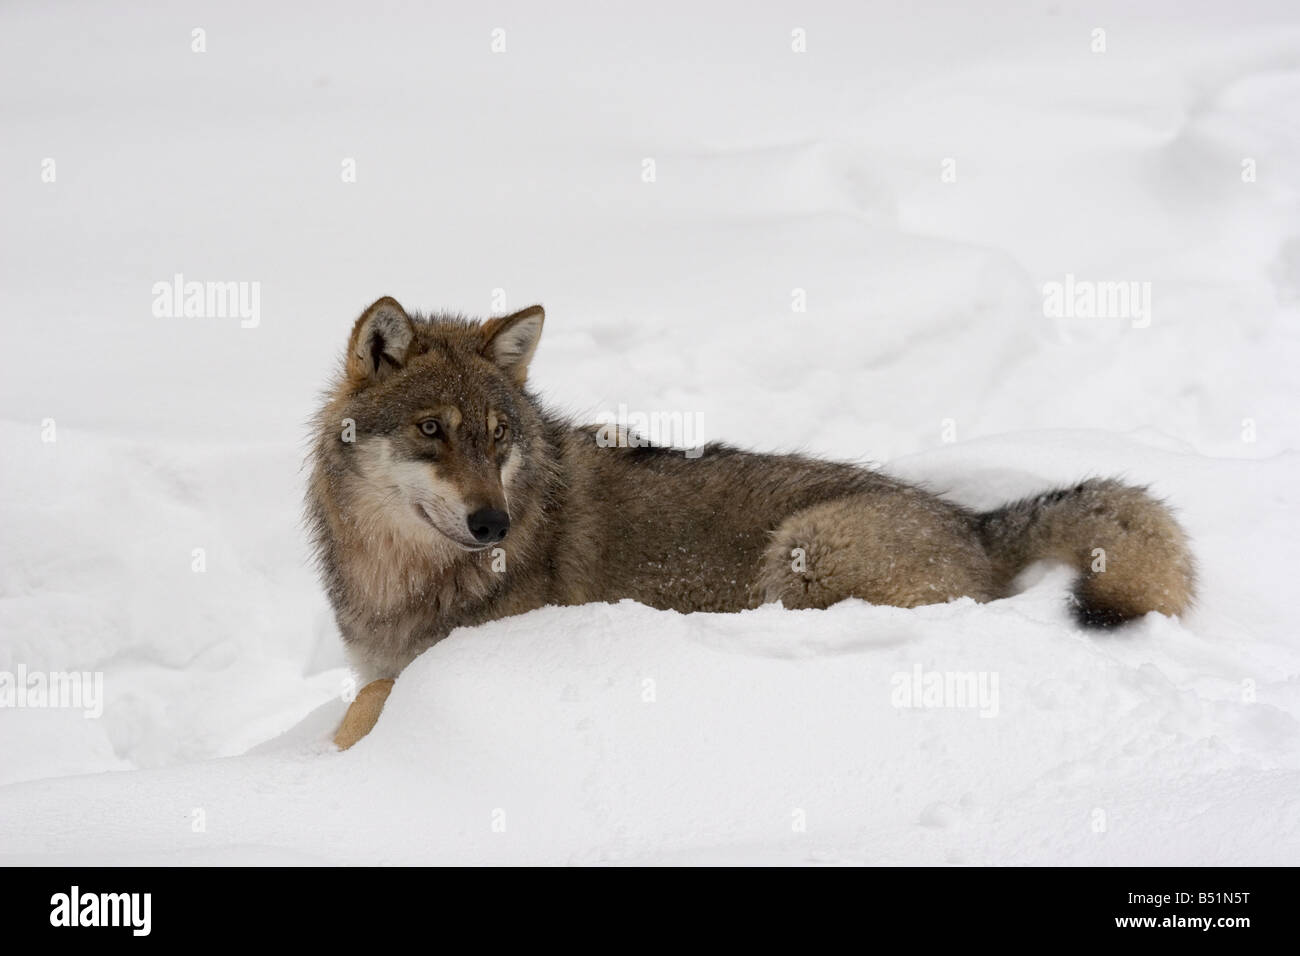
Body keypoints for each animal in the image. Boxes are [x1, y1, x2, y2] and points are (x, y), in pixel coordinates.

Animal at [309, 297, 1196, 747]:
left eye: (498, 439)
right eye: (432, 430)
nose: (491, 523)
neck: (400, 575)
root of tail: (973, 522)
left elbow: (363, 714)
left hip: (802, 553)